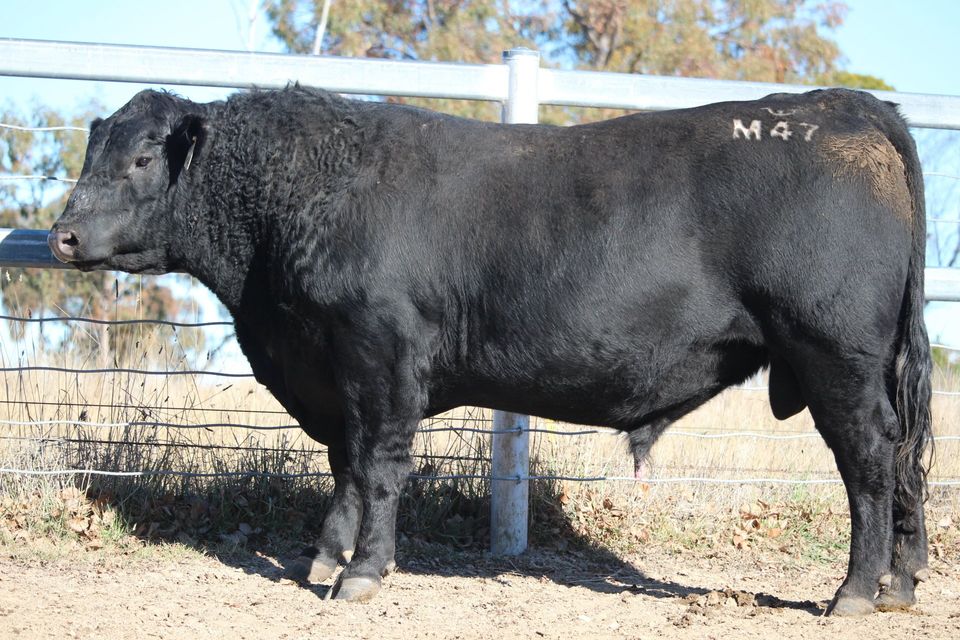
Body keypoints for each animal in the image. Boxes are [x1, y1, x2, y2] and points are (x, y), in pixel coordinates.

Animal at [48, 85, 932, 616]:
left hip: (835, 354)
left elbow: (378, 466)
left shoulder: (381, 356)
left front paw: (363, 573)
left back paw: (856, 591)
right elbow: (343, 466)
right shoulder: (331, 374)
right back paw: (902, 581)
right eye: (95, 153)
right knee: (902, 456)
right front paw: (325, 560)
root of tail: (840, 105)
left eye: (140, 158)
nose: (61, 235)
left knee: (868, 459)